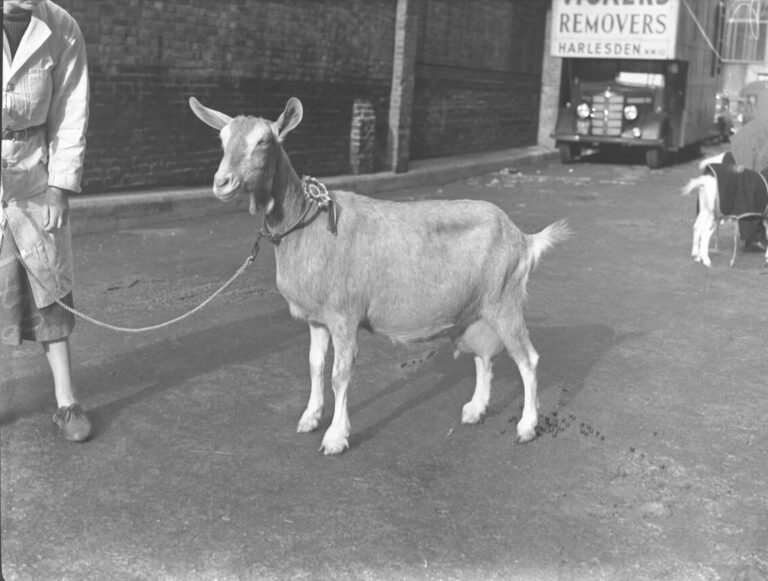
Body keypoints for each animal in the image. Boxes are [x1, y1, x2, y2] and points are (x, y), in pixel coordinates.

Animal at [189, 96, 571, 454]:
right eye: (222, 139)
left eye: (264, 141)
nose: (222, 182)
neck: (307, 222)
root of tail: (523, 238)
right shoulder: (316, 319)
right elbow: (315, 365)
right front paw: (310, 418)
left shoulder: (344, 314)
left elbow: (340, 375)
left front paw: (335, 437)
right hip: (475, 310)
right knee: (484, 356)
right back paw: (475, 409)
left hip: (505, 300)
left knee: (527, 359)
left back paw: (526, 426)